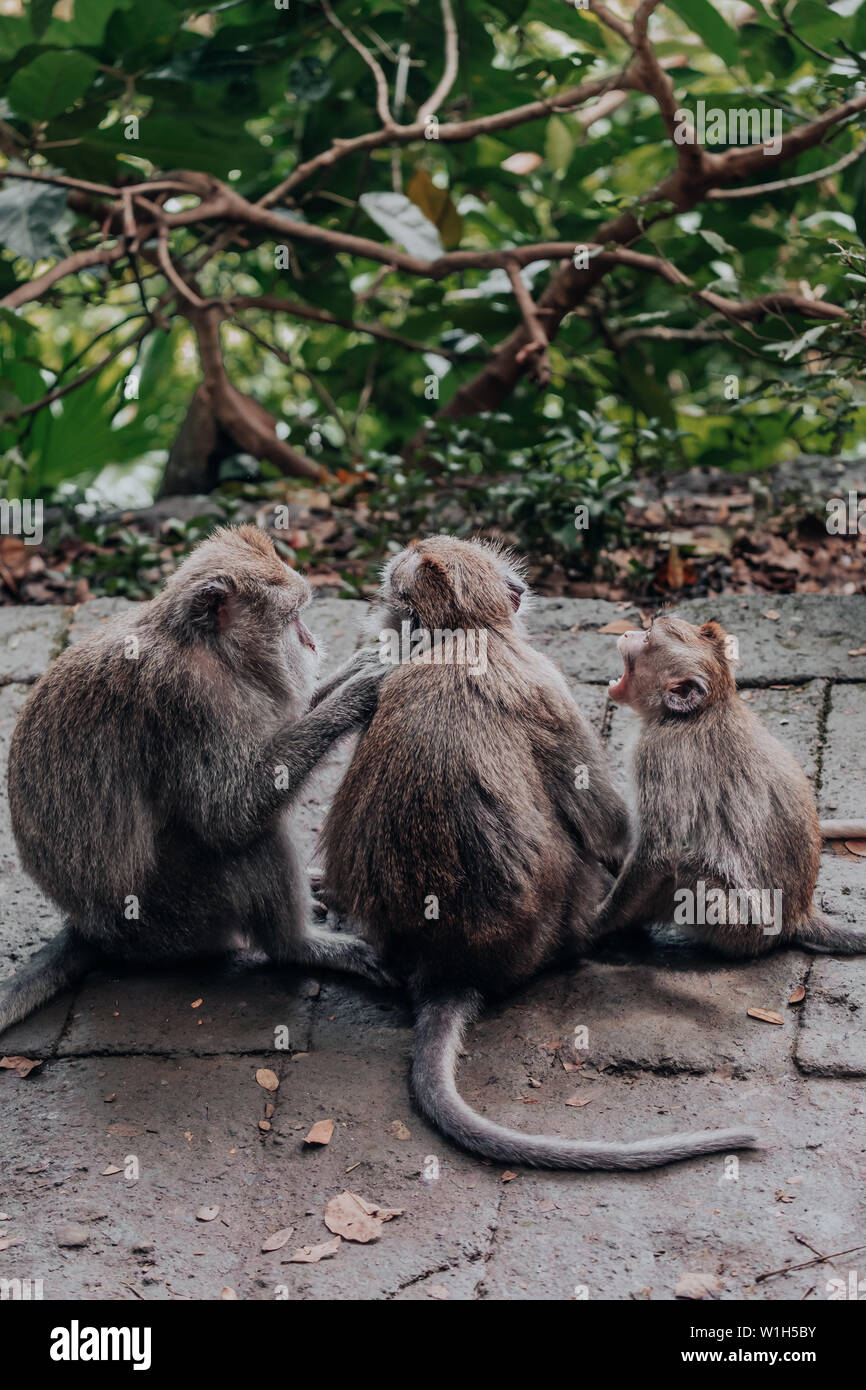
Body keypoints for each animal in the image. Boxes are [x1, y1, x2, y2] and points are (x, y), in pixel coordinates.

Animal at [0, 525, 391, 1039]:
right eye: (292, 617)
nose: (309, 642)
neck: (210, 651)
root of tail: (94, 930)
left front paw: (357, 667)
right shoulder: (187, 700)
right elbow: (228, 815)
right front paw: (359, 691)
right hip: (177, 917)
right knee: (244, 844)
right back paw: (298, 946)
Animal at [593, 615, 866, 956]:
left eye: (647, 638)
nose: (629, 633)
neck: (701, 711)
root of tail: (798, 914)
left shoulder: (656, 753)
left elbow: (660, 852)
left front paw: (597, 923)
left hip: (736, 924)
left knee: (684, 865)